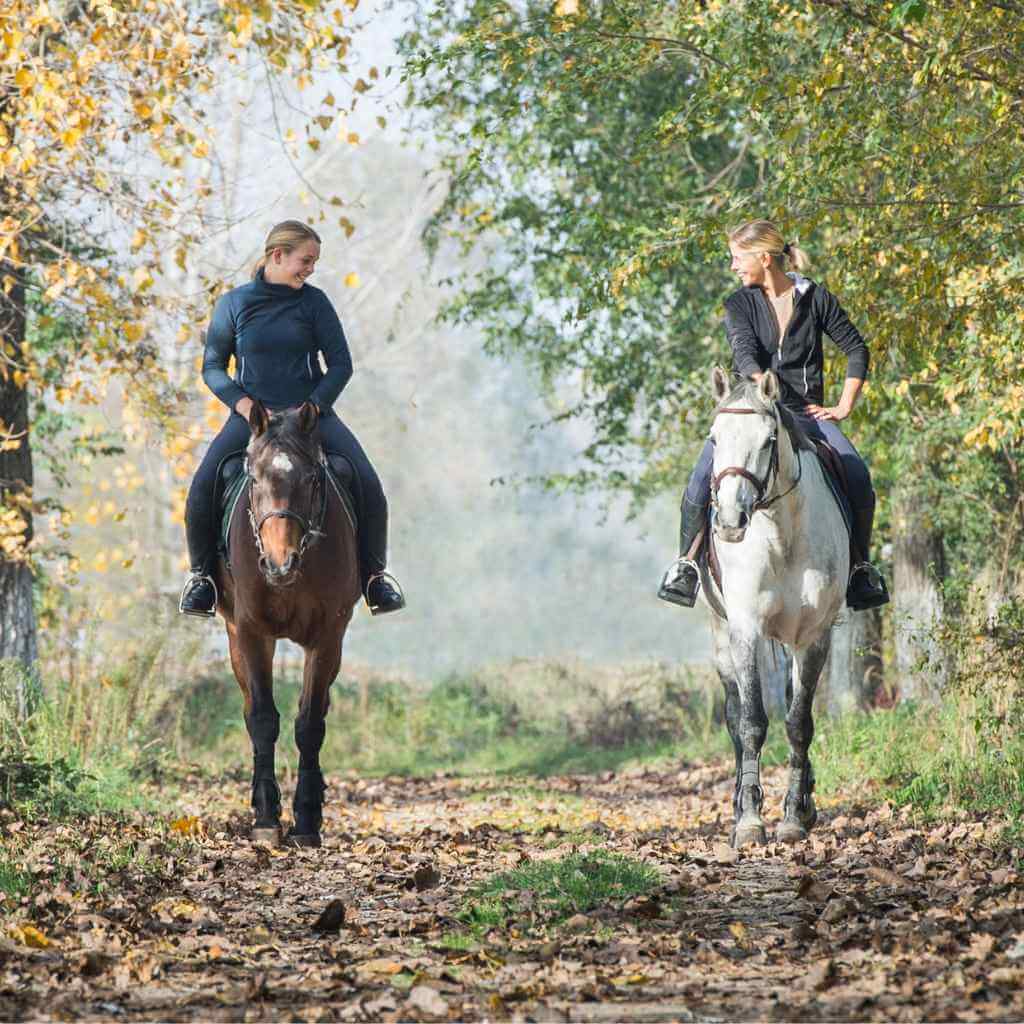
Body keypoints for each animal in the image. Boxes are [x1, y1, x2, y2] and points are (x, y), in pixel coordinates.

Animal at [216, 401, 361, 847]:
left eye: (312, 478)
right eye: (254, 478)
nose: (280, 564)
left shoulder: (328, 637)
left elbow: (310, 723)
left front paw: (307, 820)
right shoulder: (251, 633)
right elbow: (263, 720)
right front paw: (266, 818)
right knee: (251, 712)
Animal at [700, 368, 849, 848]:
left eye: (768, 441)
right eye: (714, 439)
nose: (730, 522)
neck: (781, 536)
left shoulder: (813, 636)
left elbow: (799, 721)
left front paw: (794, 815)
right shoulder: (745, 630)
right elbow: (751, 722)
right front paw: (749, 820)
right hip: (720, 635)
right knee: (734, 716)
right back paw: (737, 803)